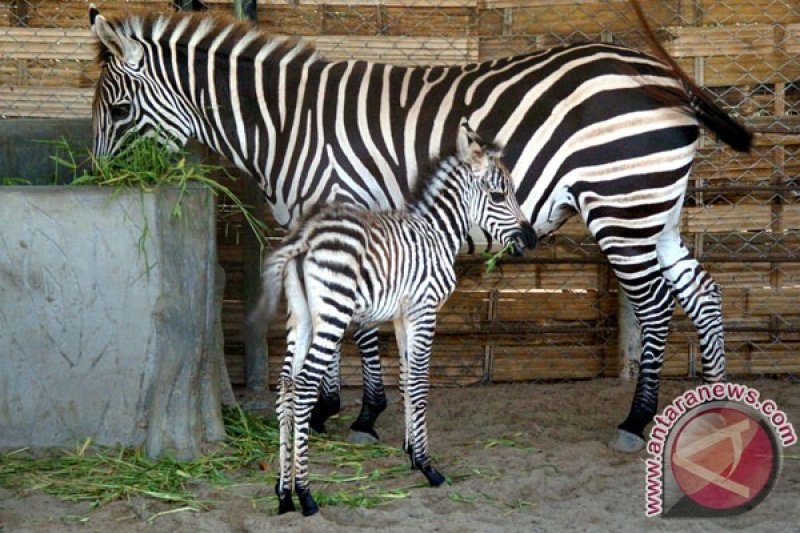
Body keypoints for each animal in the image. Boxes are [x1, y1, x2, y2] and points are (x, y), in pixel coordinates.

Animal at [88, 2, 752, 454]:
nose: (98, 179)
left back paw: (638, 421)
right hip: (656, 210)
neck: (287, 127)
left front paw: (359, 415)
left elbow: (356, 326)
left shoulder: (344, 210)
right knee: (704, 293)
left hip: (622, 203)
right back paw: (717, 405)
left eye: (119, 110)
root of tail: (666, 76)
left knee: (657, 305)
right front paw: (329, 408)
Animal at [253, 120, 536, 516]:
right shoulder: (425, 310)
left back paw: (283, 495)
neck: (437, 234)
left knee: (286, 387)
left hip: (302, 317)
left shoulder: (404, 317)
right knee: (306, 385)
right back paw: (306, 495)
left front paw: (412, 453)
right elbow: (419, 384)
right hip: (333, 313)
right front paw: (429, 467)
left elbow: (405, 380)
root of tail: (306, 235)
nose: (532, 238)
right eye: (498, 195)